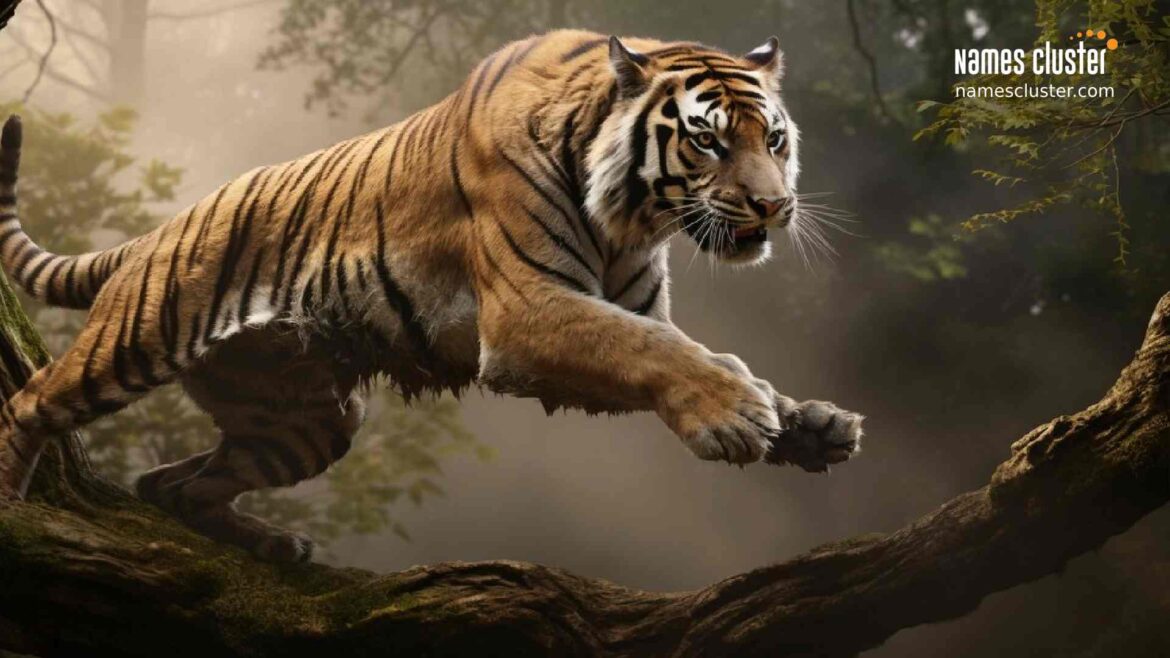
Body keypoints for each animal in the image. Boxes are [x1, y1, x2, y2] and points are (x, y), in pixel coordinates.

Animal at [0, 30, 864, 562]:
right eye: (708, 140)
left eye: (774, 139)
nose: (773, 206)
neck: (635, 221)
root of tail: (160, 229)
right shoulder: (529, 310)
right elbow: (664, 351)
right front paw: (739, 415)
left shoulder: (622, 306)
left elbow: (686, 349)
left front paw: (810, 424)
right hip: (136, 338)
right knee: (31, 402)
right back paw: (14, 508)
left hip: (308, 422)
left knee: (169, 485)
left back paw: (276, 544)